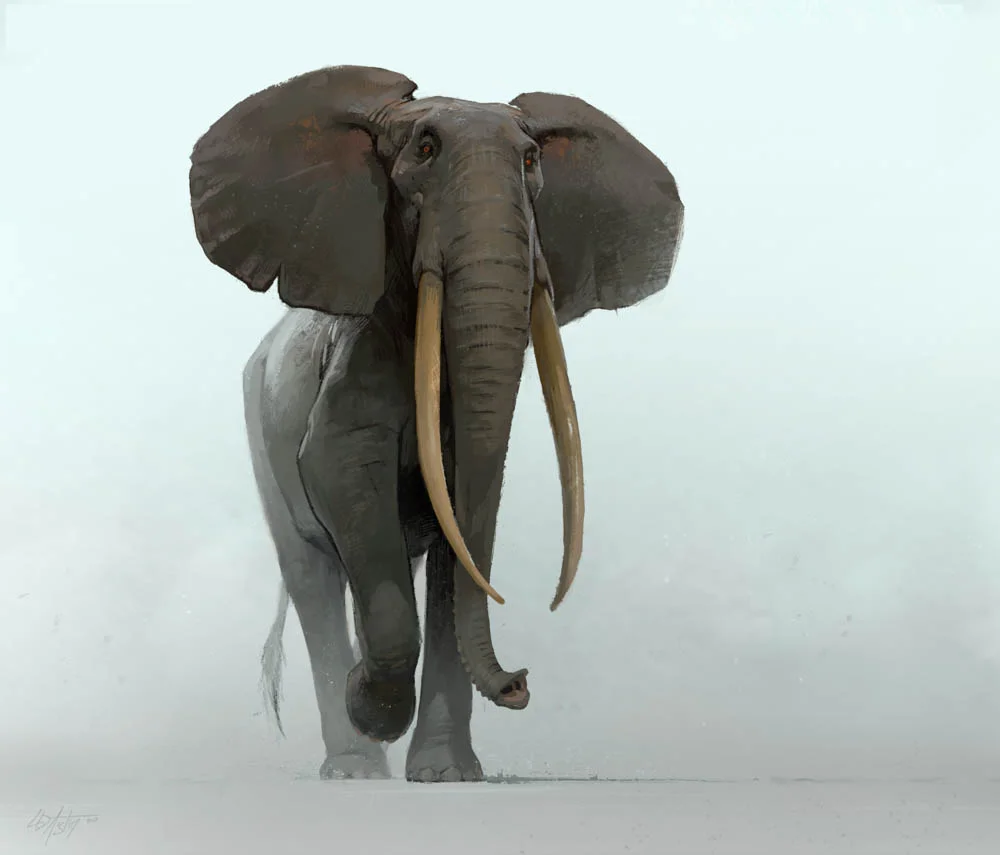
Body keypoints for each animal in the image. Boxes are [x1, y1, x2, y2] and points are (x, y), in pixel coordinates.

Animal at [188, 65, 684, 783]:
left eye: (530, 160)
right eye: (423, 150)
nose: (520, 682)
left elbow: (466, 505)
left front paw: (448, 775)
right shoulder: (353, 359)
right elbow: (336, 463)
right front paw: (369, 702)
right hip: (259, 426)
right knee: (312, 571)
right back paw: (354, 763)